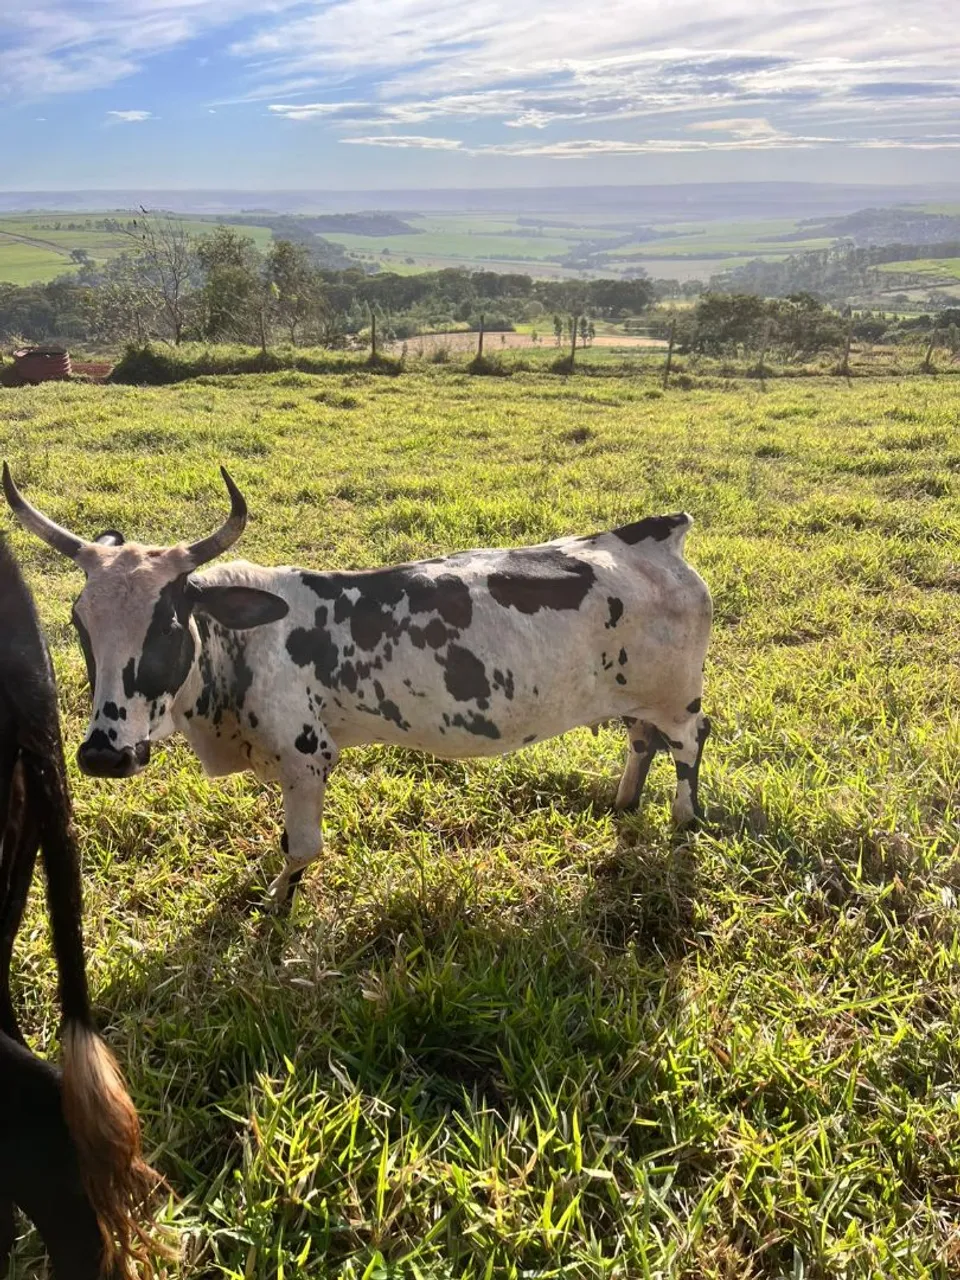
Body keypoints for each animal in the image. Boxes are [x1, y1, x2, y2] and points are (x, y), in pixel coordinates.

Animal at [2, 463, 712, 908]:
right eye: (80, 622)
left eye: (168, 624)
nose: (103, 753)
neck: (245, 647)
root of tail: (652, 536)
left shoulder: (307, 756)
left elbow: (301, 848)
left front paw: (277, 906)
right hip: (637, 697)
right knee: (641, 741)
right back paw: (624, 803)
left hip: (678, 699)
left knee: (689, 742)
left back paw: (683, 820)